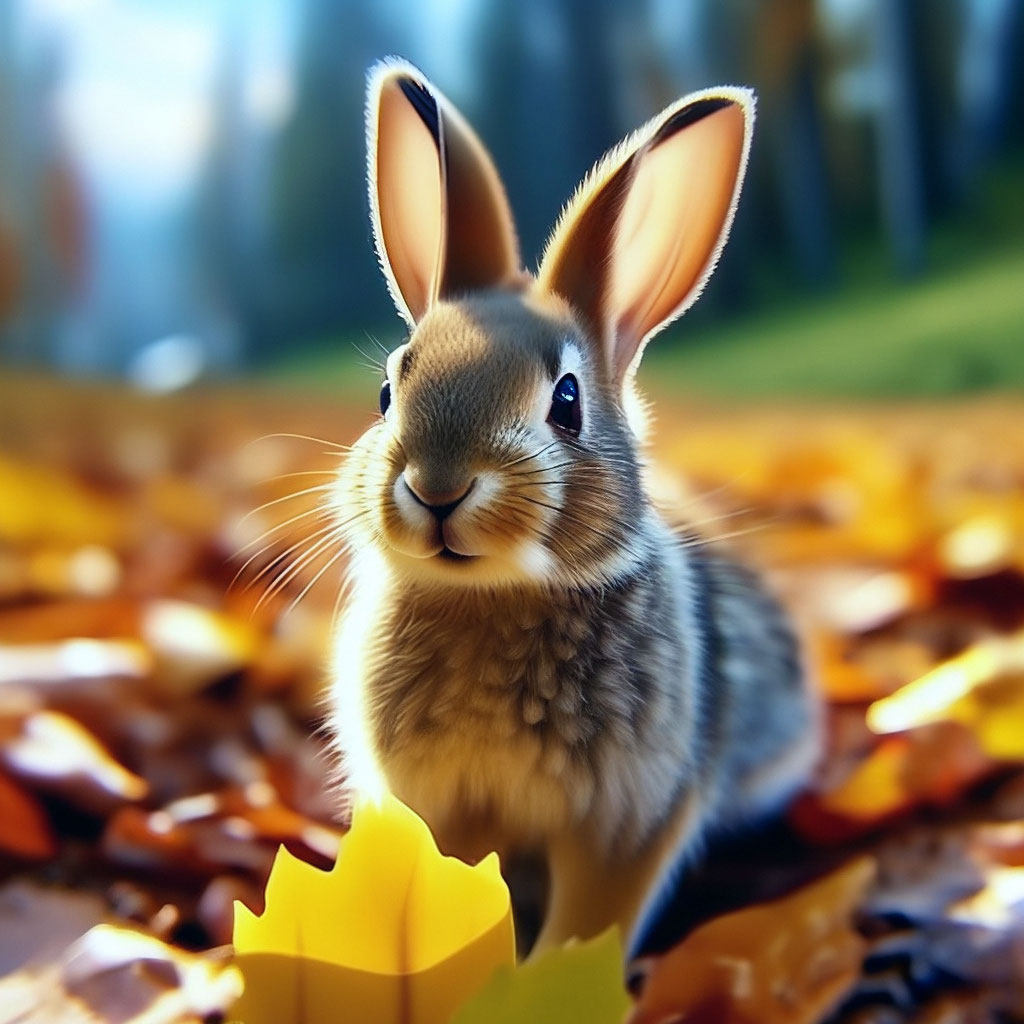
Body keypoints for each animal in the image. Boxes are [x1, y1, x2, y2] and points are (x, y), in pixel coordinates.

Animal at [328, 57, 821, 959]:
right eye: (387, 392)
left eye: (566, 401)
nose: (437, 488)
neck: (491, 597)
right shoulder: (449, 813)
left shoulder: (629, 816)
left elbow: (592, 920)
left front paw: (543, 978)